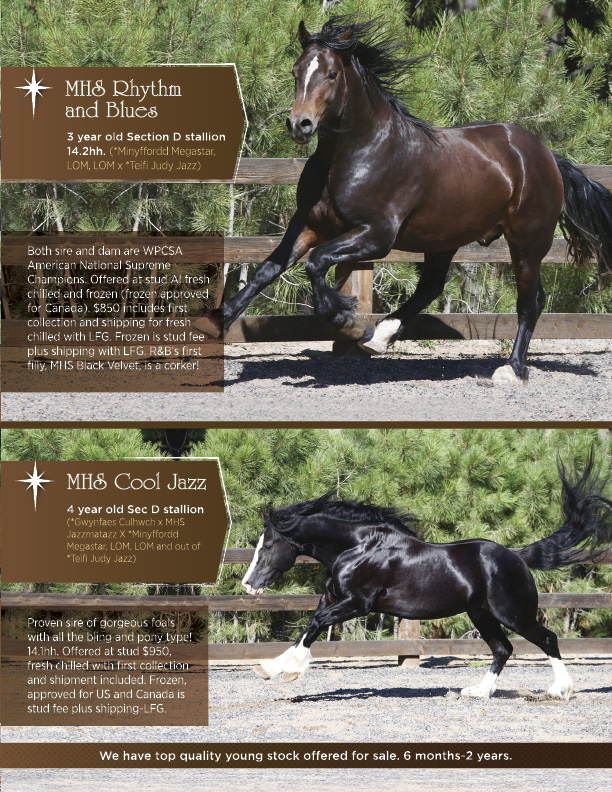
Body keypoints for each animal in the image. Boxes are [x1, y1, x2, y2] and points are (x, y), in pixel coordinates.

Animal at [202, 16, 612, 384]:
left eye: (332, 74)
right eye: (296, 70)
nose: (299, 125)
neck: (358, 154)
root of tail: (546, 155)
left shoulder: (376, 235)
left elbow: (317, 263)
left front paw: (343, 316)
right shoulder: (310, 224)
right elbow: (267, 270)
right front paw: (217, 322)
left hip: (527, 241)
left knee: (531, 301)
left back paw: (511, 369)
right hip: (445, 238)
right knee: (431, 287)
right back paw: (379, 337)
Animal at [241, 457, 612, 699]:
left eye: (268, 545)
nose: (248, 584)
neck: (358, 547)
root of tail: (517, 555)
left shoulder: (358, 604)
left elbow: (314, 625)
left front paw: (289, 671)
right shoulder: (332, 599)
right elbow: (308, 629)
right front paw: (270, 669)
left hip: (514, 614)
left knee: (546, 639)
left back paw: (559, 690)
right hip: (480, 613)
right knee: (502, 648)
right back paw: (477, 691)